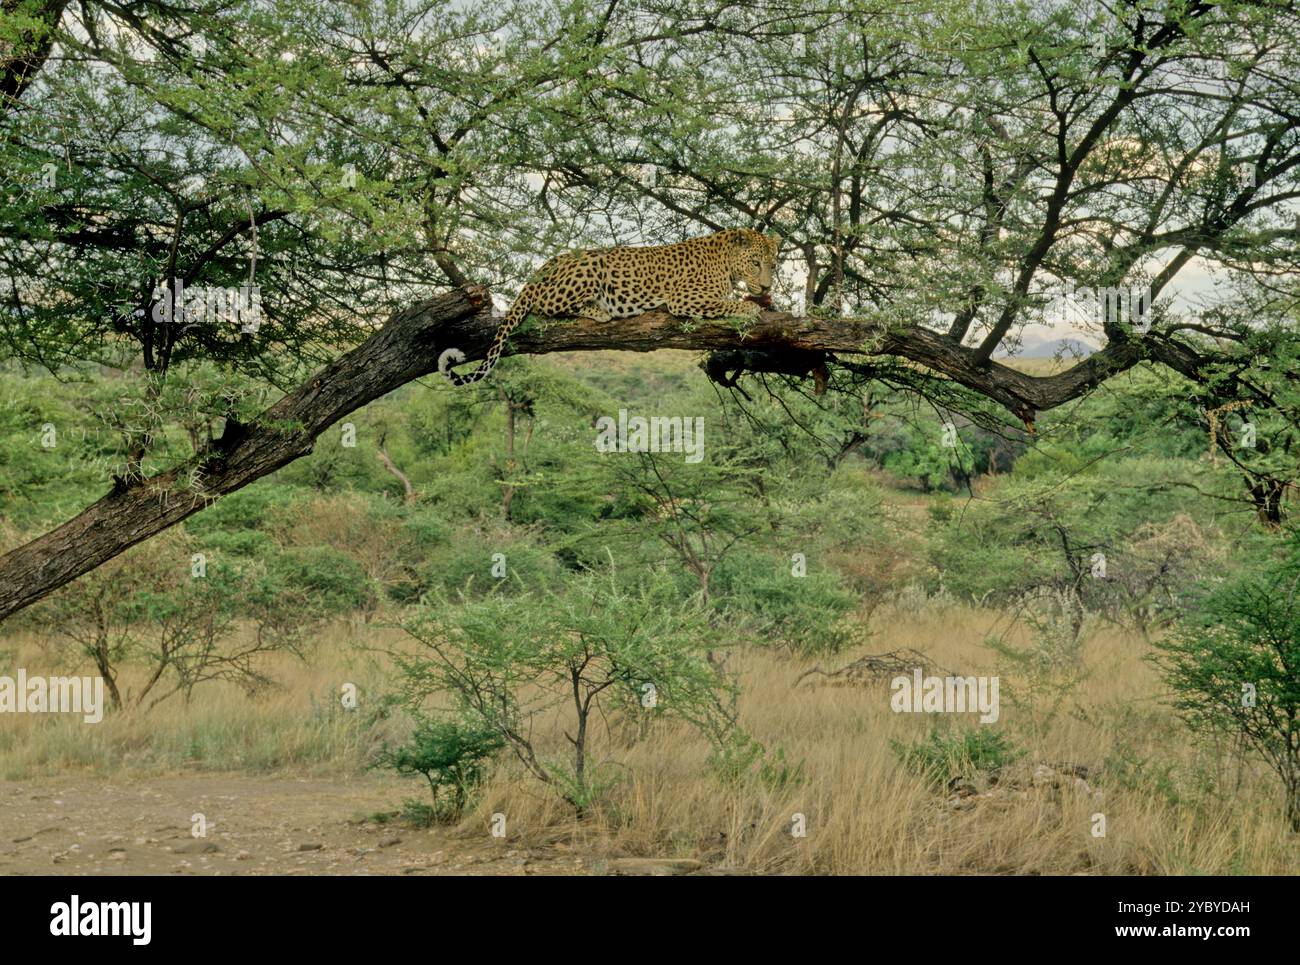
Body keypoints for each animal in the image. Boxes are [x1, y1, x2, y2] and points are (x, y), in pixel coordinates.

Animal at [439, 228, 780, 386]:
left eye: (773, 265)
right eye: (755, 263)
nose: (766, 286)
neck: (727, 262)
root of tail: (542, 268)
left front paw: (762, 302)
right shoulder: (685, 297)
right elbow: (726, 303)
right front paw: (750, 308)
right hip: (590, 266)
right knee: (547, 305)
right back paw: (599, 309)